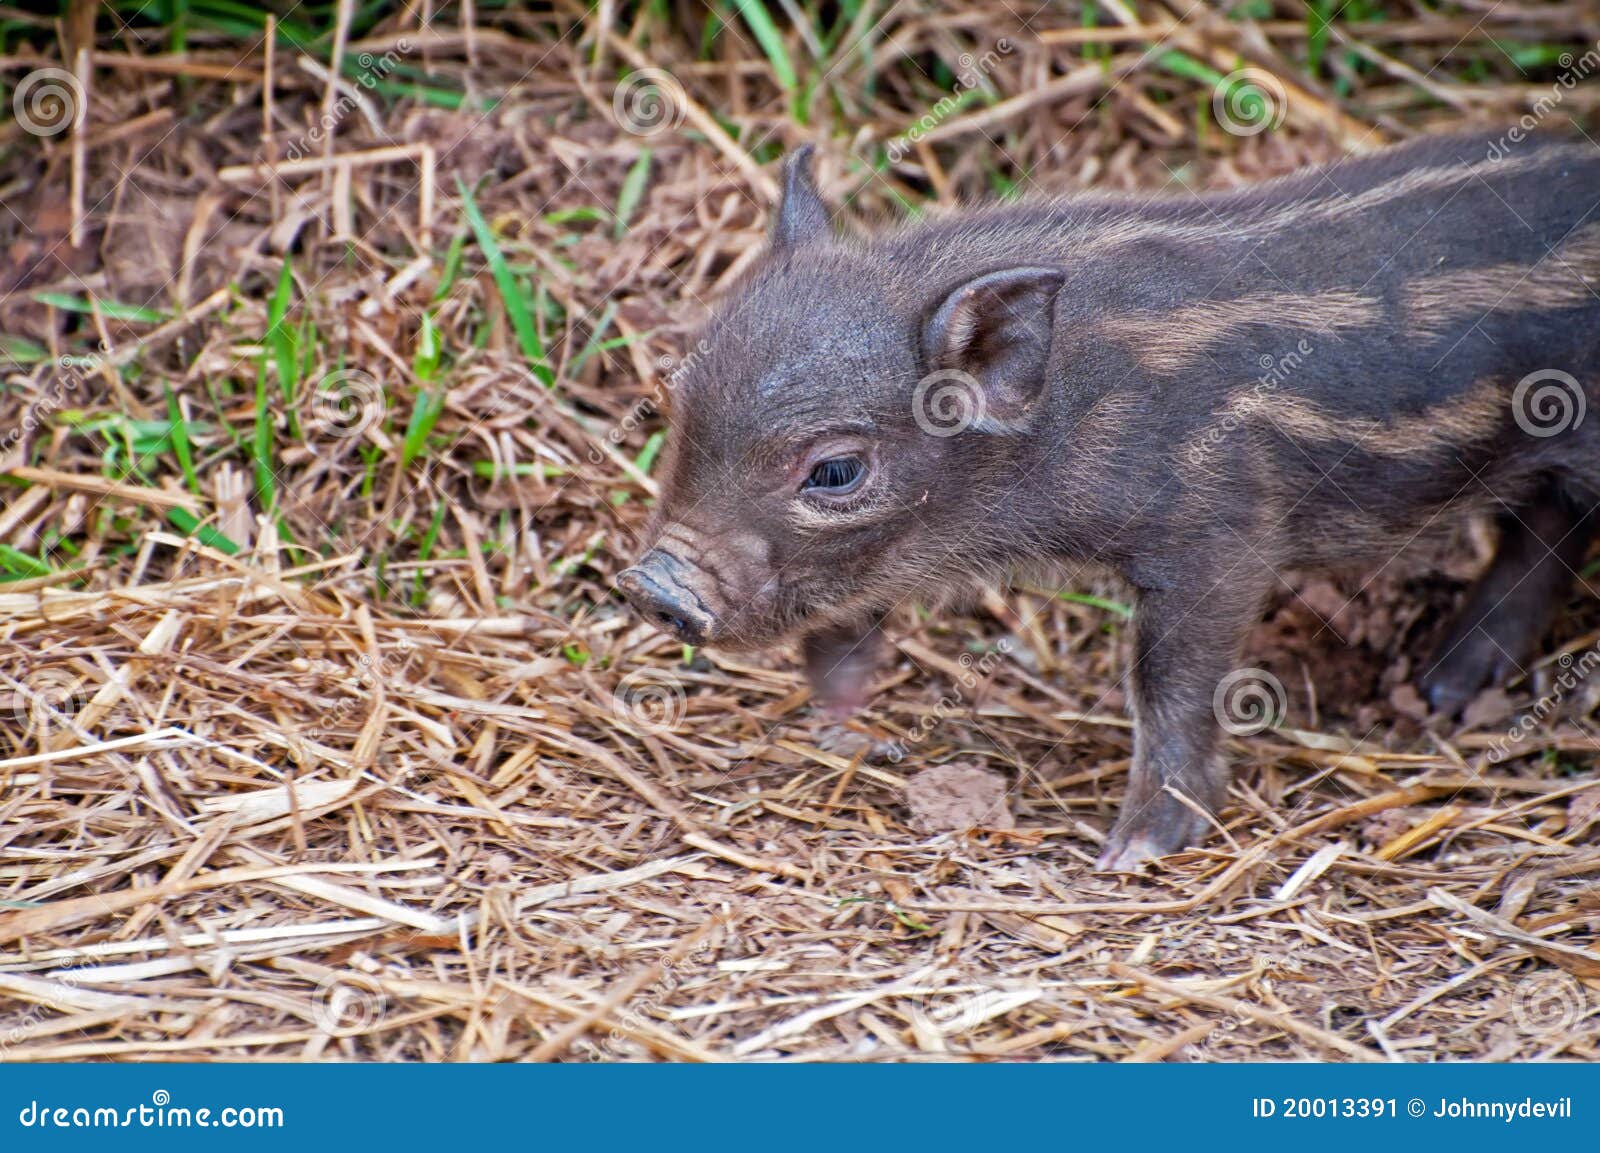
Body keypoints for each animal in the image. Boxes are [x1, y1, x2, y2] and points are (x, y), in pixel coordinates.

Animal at [617, 134, 1600, 869]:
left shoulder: (1221, 529)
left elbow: (1169, 679)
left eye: (833, 471)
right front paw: (838, 718)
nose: (656, 586)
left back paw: (1445, 694)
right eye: (679, 393)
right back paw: (1447, 687)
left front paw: (1134, 851)